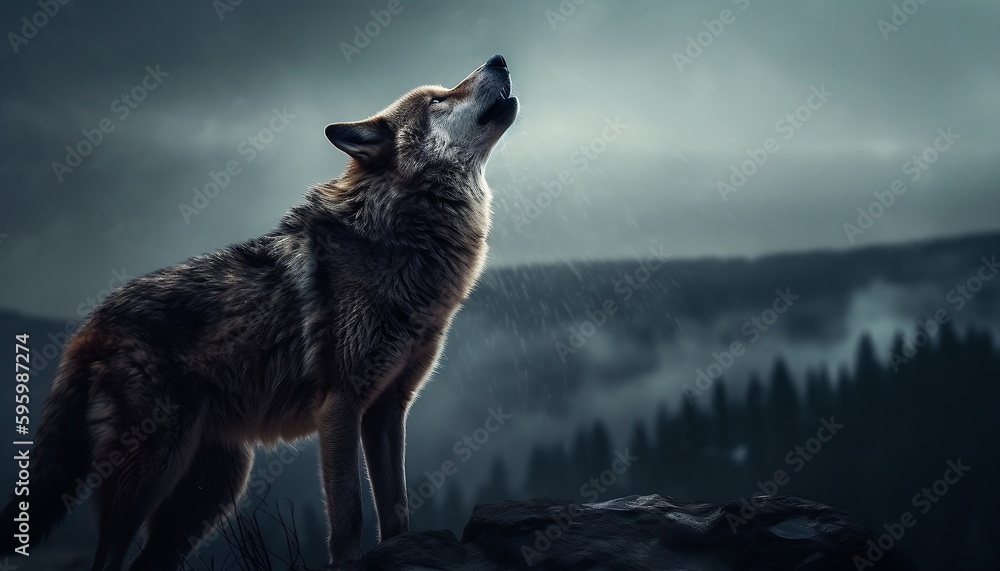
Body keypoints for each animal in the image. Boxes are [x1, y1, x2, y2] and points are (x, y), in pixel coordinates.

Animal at [2, 54, 518, 570]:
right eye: (438, 99)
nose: (499, 60)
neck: (402, 234)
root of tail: (90, 324)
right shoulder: (340, 405)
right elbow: (349, 511)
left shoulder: (388, 409)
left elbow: (397, 509)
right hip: (152, 472)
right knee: (107, 559)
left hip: (210, 494)